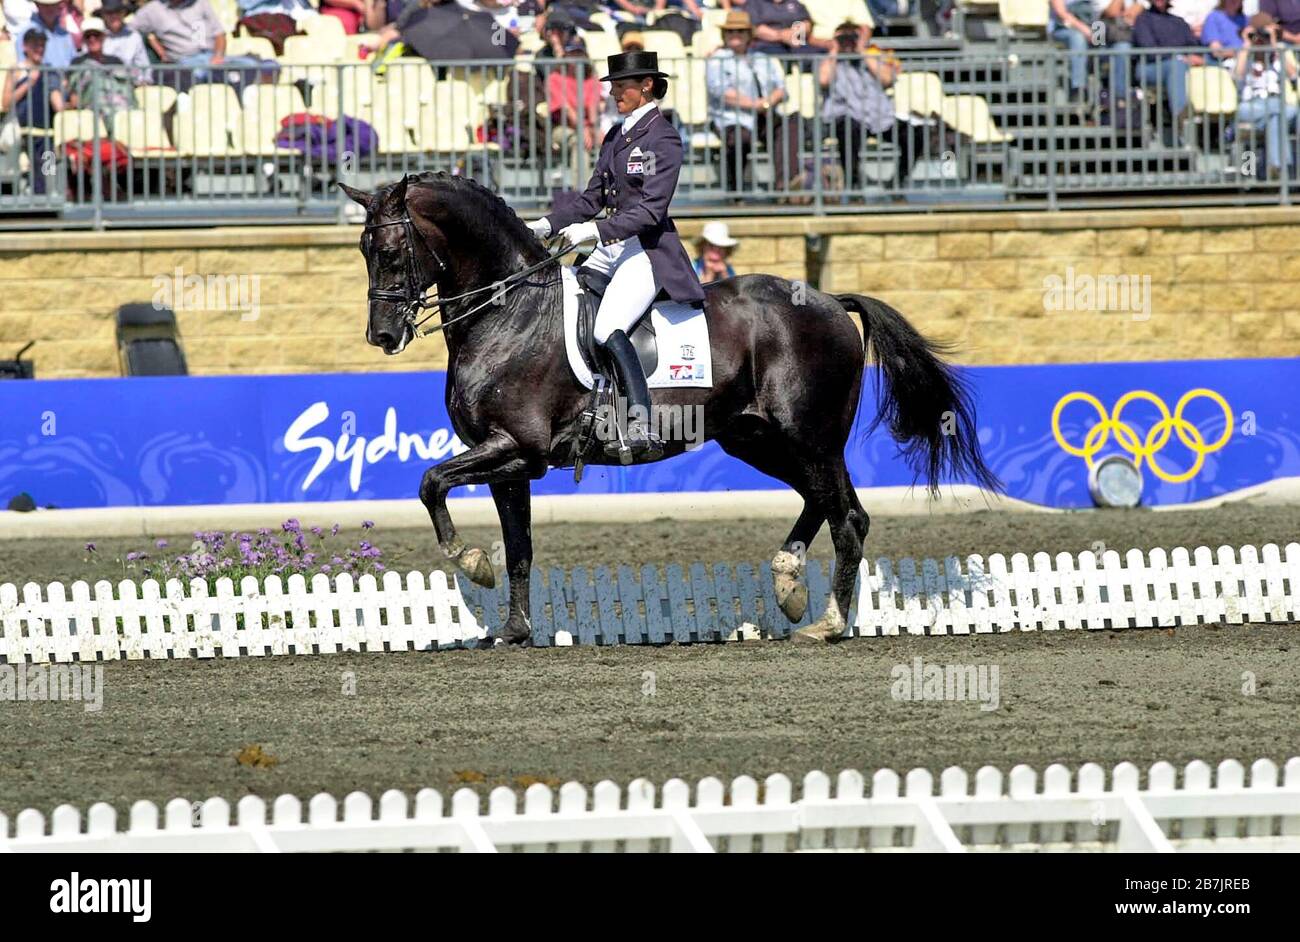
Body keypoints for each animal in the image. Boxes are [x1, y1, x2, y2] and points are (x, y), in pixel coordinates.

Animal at [339, 172, 999, 645]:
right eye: (365, 251)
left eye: (393, 251)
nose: (382, 336)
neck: (508, 312)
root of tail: (829, 300)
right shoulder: (509, 463)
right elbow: (518, 545)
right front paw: (514, 631)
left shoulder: (518, 449)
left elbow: (430, 482)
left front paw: (470, 562)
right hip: (756, 438)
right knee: (827, 502)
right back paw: (788, 582)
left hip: (809, 436)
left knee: (847, 518)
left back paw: (829, 623)